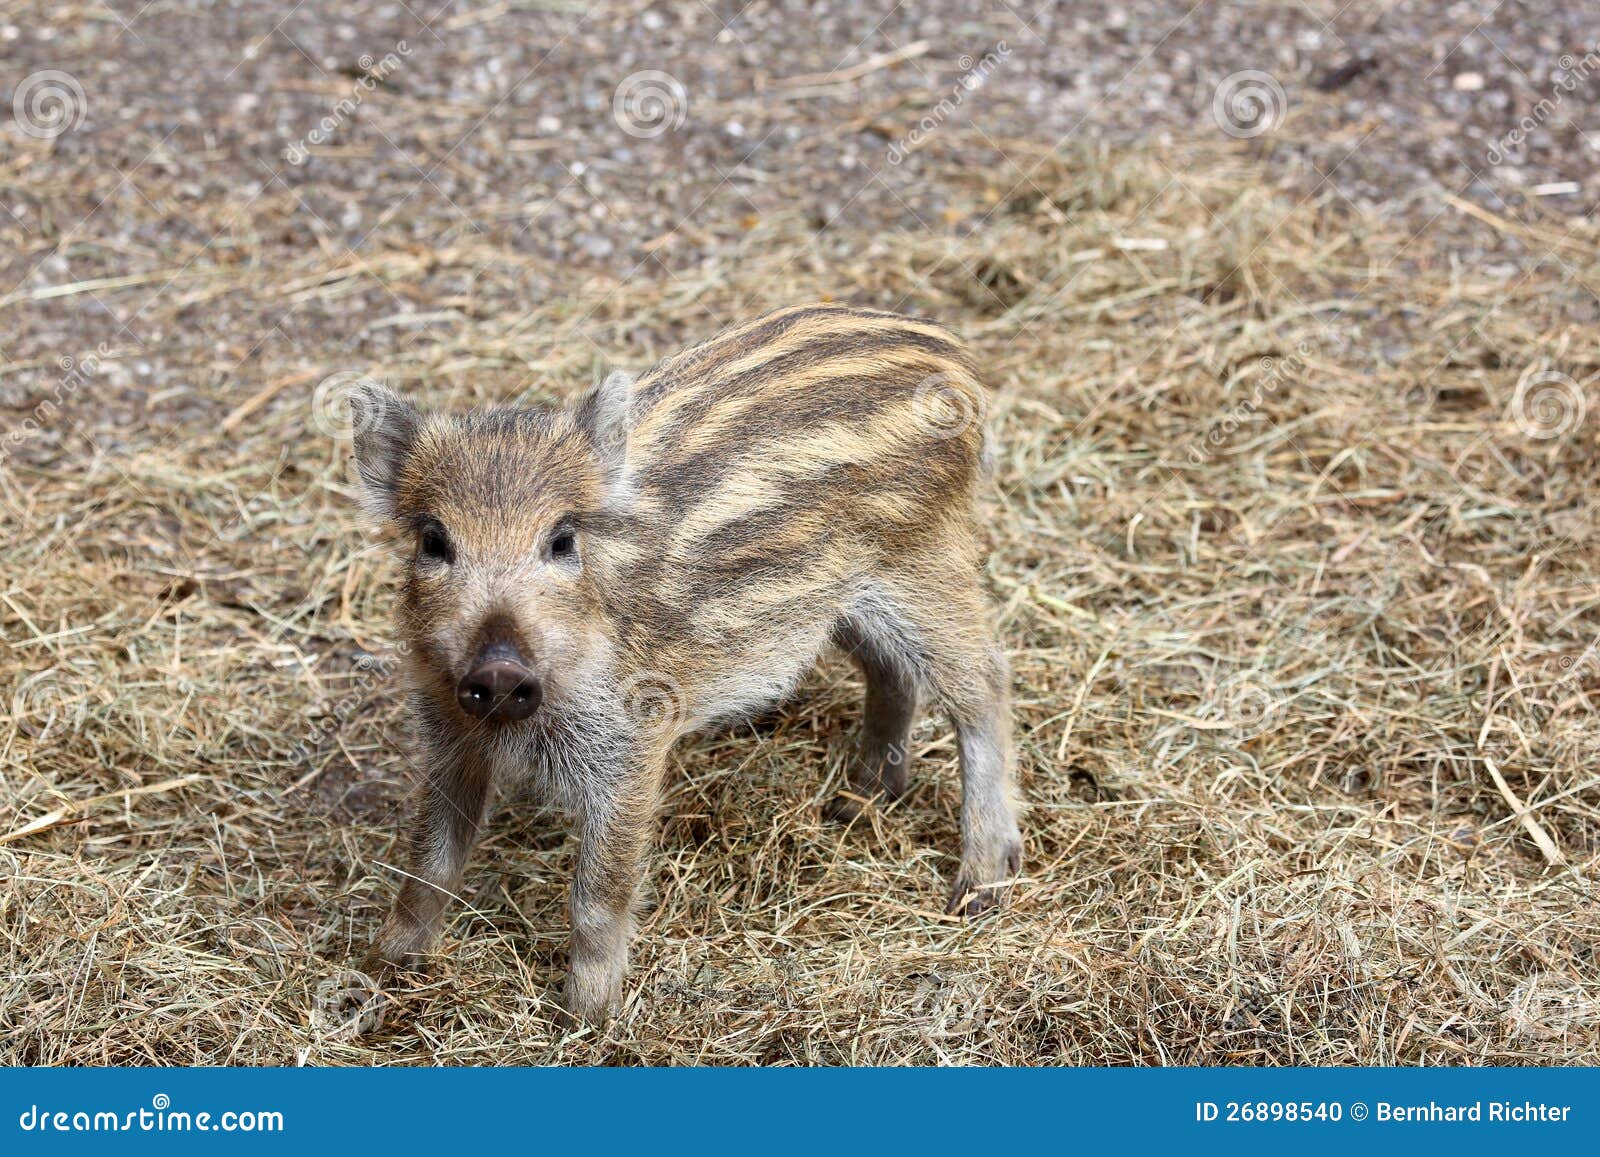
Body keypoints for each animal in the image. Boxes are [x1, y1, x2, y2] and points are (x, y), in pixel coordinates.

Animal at [346, 303, 1024, 1024]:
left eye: (562, 538)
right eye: (432, 540)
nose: (500, 671)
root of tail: (954, 355)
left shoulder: (634, 737)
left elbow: (598, 892)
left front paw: (587, 1019)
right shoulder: (449, 731)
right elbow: (429, 860)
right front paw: (379, 969)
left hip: (924, 563)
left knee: (985, 682)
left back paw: (978, 887)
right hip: (840, 599)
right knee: (893, 674)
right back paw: (859, 801)